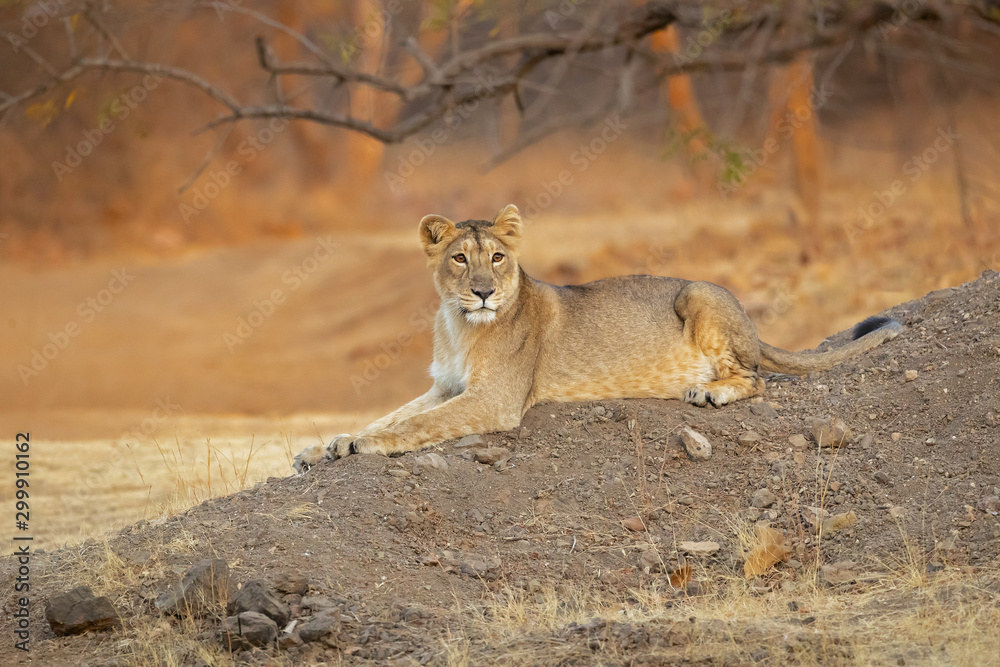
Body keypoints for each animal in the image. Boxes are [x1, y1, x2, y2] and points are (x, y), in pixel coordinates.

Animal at [294, 204, 901, 471]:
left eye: (498, 257)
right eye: (459, 259)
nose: (485, 292)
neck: (461, 324)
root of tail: (753, 324)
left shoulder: (494, 400)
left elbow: (413, 426)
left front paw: (360, 447)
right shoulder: (446, 386)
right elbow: (390, 416)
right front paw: (327, 444)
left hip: (698, 296)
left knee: (755, 377)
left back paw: (708, 391)